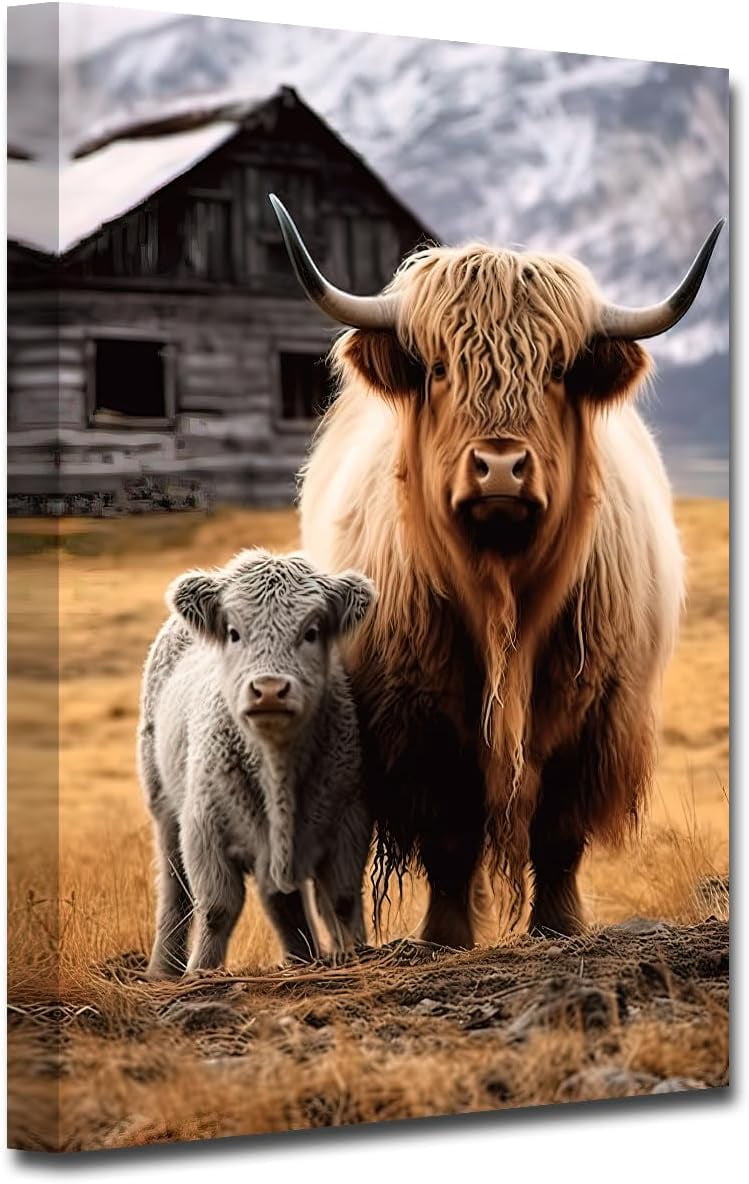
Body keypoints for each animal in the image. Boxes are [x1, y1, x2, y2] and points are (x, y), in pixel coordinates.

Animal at [270, 193, 724, 949]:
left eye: (556, 369)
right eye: (440, 367)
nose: (501, 468)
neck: (501, 590)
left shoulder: (592, 717)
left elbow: (559, 832)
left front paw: (559, 925)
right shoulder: (419, 722)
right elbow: (451, 836)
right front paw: (445, 935)